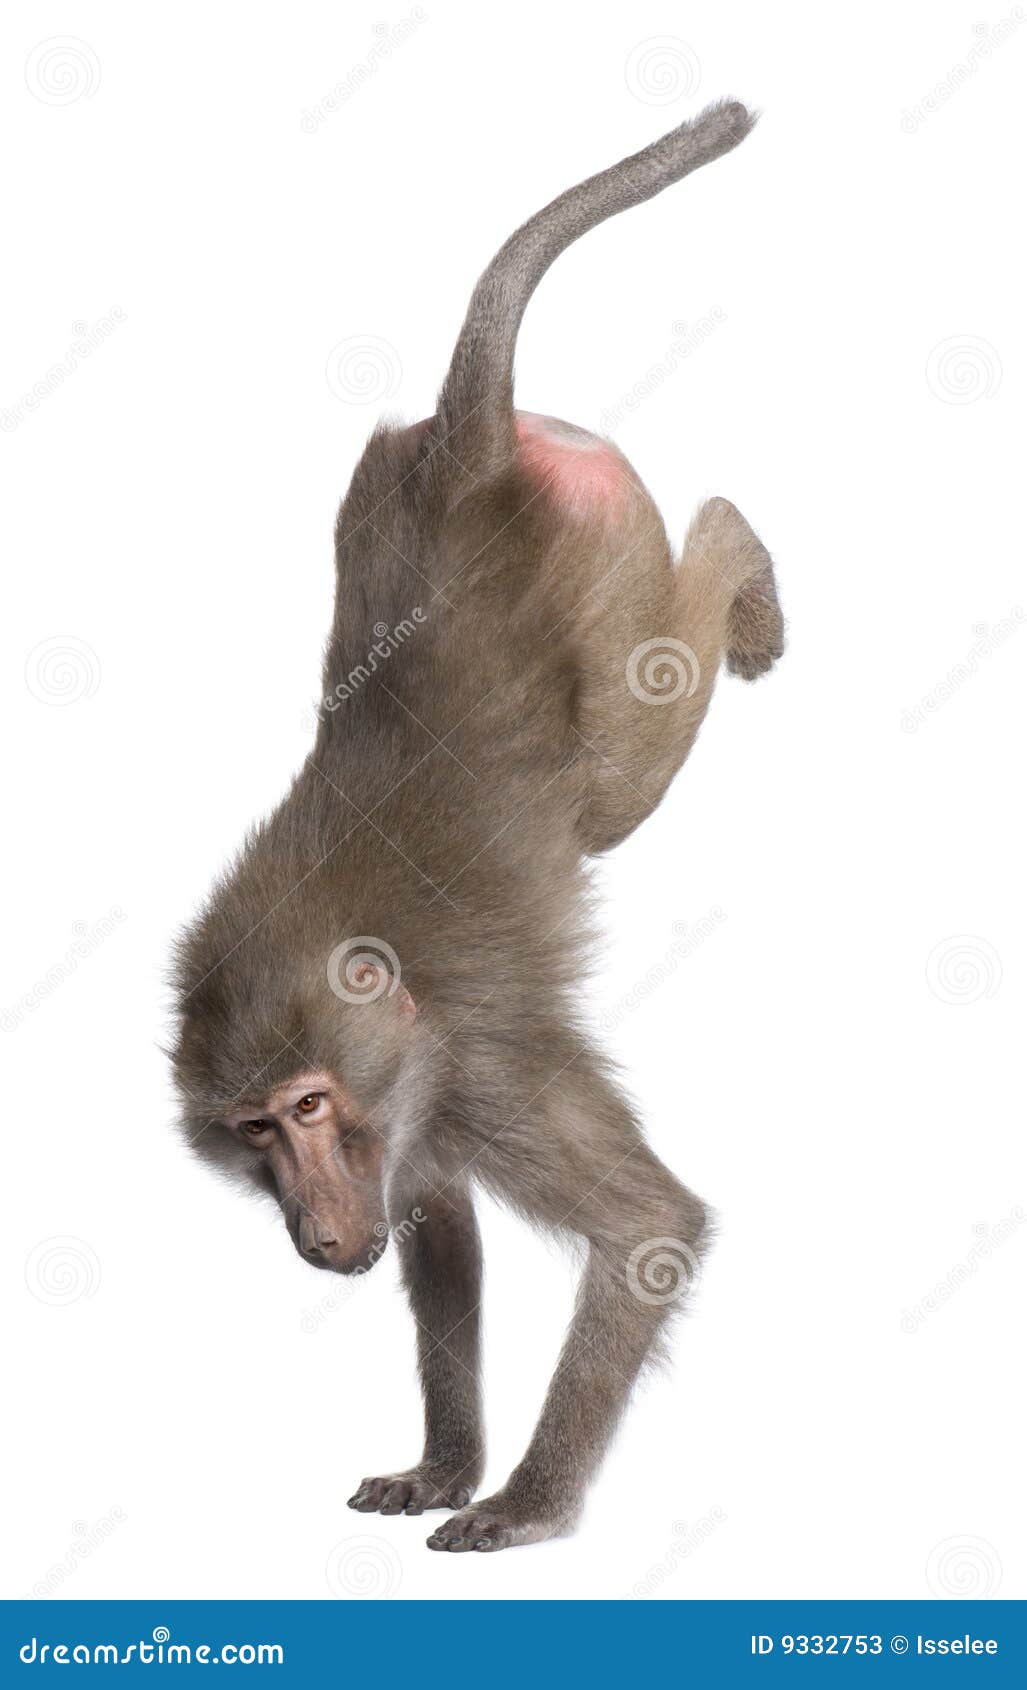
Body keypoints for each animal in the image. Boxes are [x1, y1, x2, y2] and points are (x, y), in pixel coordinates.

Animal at [170, 98, 784, 1554]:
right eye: (255, 1128)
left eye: (309, 1103)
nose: (322, 1234)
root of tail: (465, 453)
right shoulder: (417, 1113)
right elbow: (439, 1233)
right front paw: (442, 1466)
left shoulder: (483, 1065)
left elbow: (647, 1226)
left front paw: (525, 1504)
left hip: (595, 563)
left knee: (621, 771)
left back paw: (740, 571)